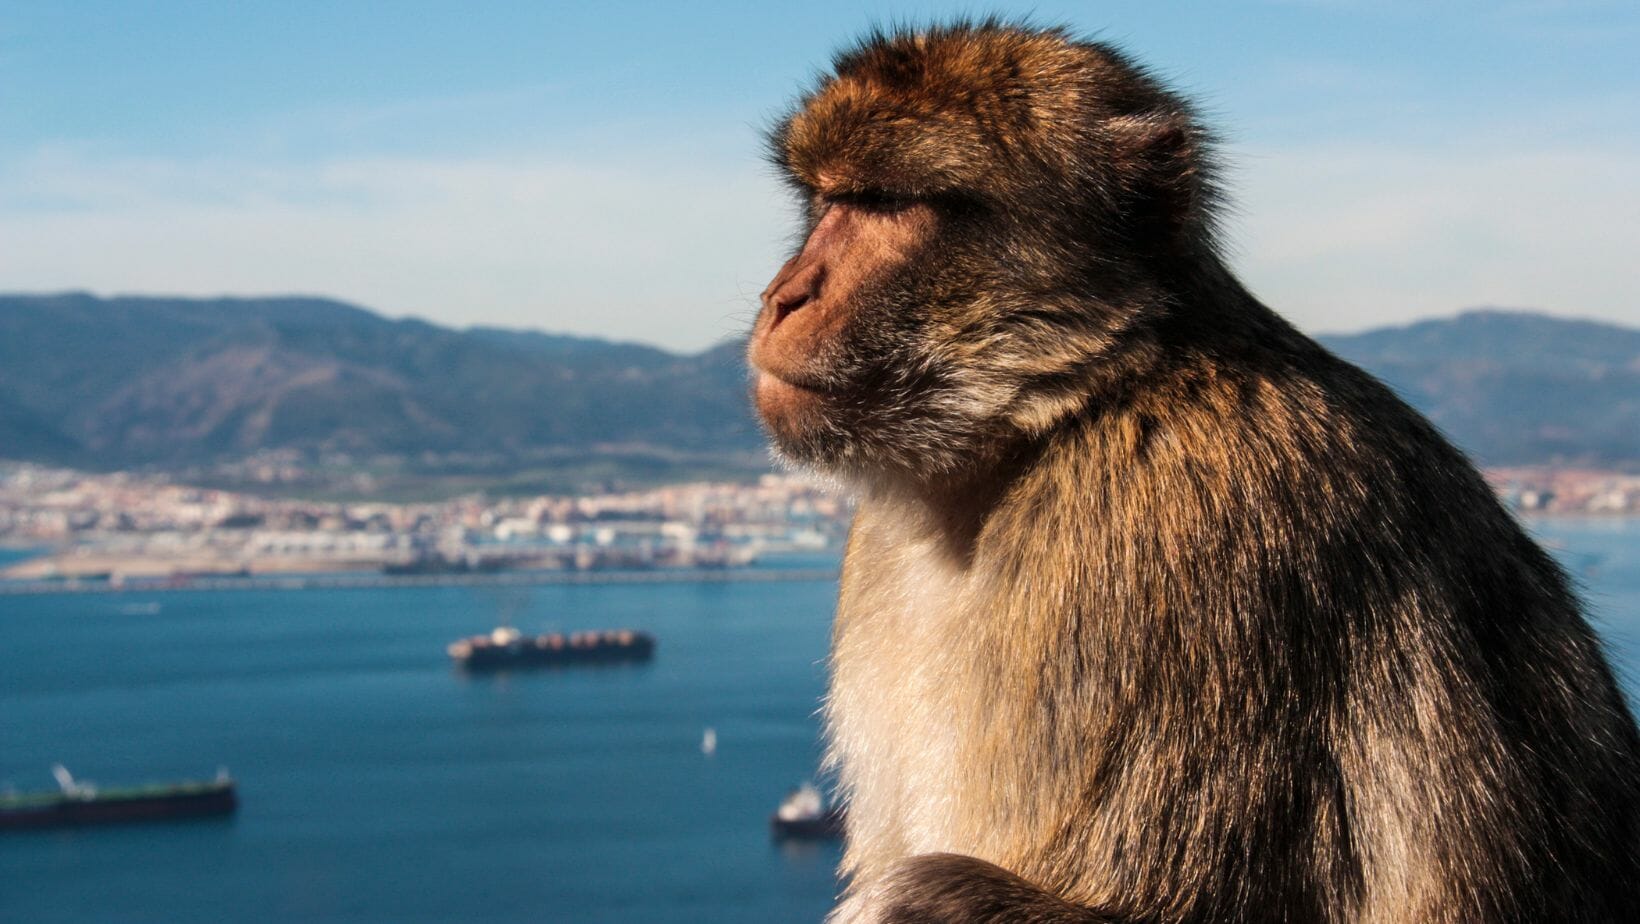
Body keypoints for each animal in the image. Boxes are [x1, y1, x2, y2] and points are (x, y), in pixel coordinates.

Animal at [745, 21, 1640, 924]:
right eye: (827, 202)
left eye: (887, 204)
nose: (781, 296)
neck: (1066, 415)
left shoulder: (1171, 549)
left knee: (922, 890)